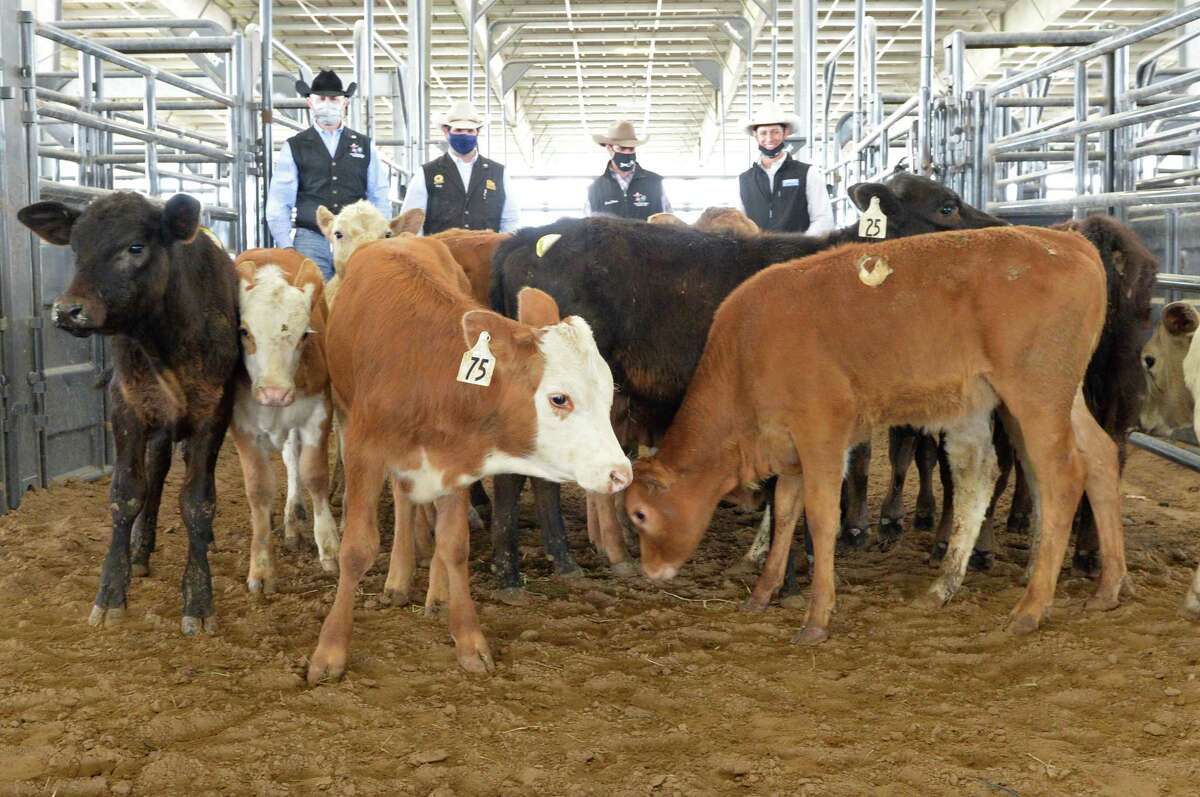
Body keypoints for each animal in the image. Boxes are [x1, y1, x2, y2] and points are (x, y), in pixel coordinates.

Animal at [17, 192, 240, 635]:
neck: (164, 340)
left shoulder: (212, 415)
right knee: (156, 471)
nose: (67, 311)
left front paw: (199, 600)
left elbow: (197, 502)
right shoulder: (128, 410)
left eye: (135, 247)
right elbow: (127, 494)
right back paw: (141, 550)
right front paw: (110, 594)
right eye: (75, 248)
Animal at [230, 249, 337, 594]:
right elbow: (258, 488)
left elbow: (314, 475)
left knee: (293, 461)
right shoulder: (241, 425)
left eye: (304, 334)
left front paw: (329, 546)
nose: (274, 393)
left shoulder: (318, 412)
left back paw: (294, 519)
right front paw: (262, 568)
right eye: (244, 331)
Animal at [306, 235, 632, 684]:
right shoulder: (362, 452)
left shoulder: (457, 459)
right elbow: (356, 549)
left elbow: (454, 545)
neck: (426, 373)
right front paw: (330, 650)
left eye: (608, 392)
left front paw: (468, 639)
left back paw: (431, 590)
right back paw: (399, 577)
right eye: (559, 398)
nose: (620, 474)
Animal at [487, 173, 1007, 598]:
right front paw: (790, 577)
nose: (1004, 233)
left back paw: (559, 561)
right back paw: (517, 571)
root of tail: (529, 237)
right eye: (947, 206)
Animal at [624, 226, 1127, 642]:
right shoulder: (791, 450)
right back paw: (1108, 586)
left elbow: (821, 518)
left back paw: (1032, 607)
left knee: (1063, 477)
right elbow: (784, 512)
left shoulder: (823, 436)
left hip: (1037, 398)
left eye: (640, 514)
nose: (650, 571)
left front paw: (817, 617)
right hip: (1060, 398)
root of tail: (1068, 242)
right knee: (1100, 459)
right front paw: (762, 593)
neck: (747, 354)